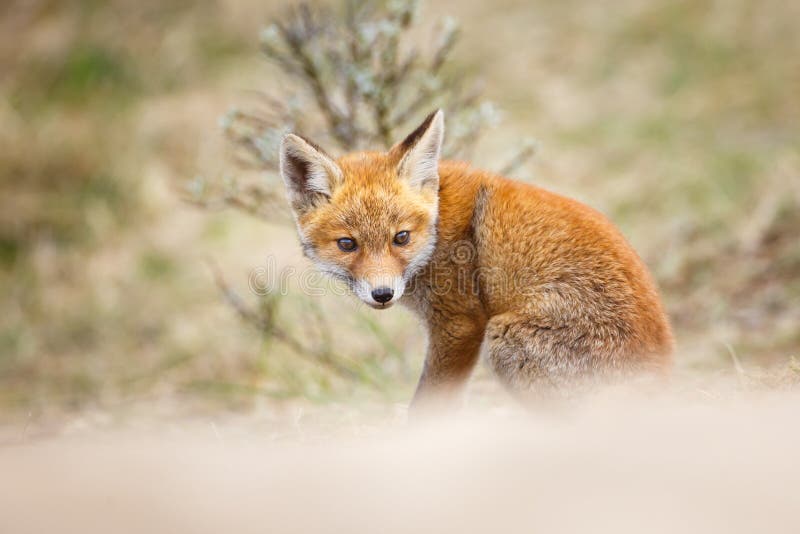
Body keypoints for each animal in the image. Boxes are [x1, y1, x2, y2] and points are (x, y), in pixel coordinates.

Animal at [279, 110, 674, 408]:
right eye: (348, 244)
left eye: (401, 237)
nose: (383, 294)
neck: (438, 226)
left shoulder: (460, 325)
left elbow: (426, 408)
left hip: (502, 338)